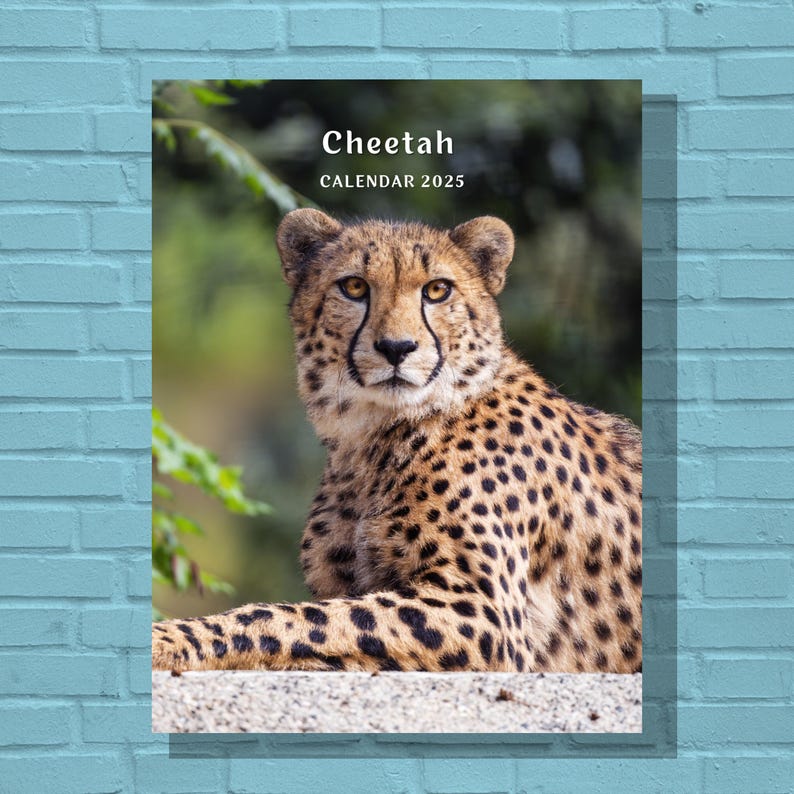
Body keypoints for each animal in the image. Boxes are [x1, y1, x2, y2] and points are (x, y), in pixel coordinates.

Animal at [152, 208, 642, 674]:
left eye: (438, 290)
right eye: (353, 287)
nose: (396, 347)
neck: (375, 437)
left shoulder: (485, 612)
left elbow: (289, 618)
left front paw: (170, 638)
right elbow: (312, 618)